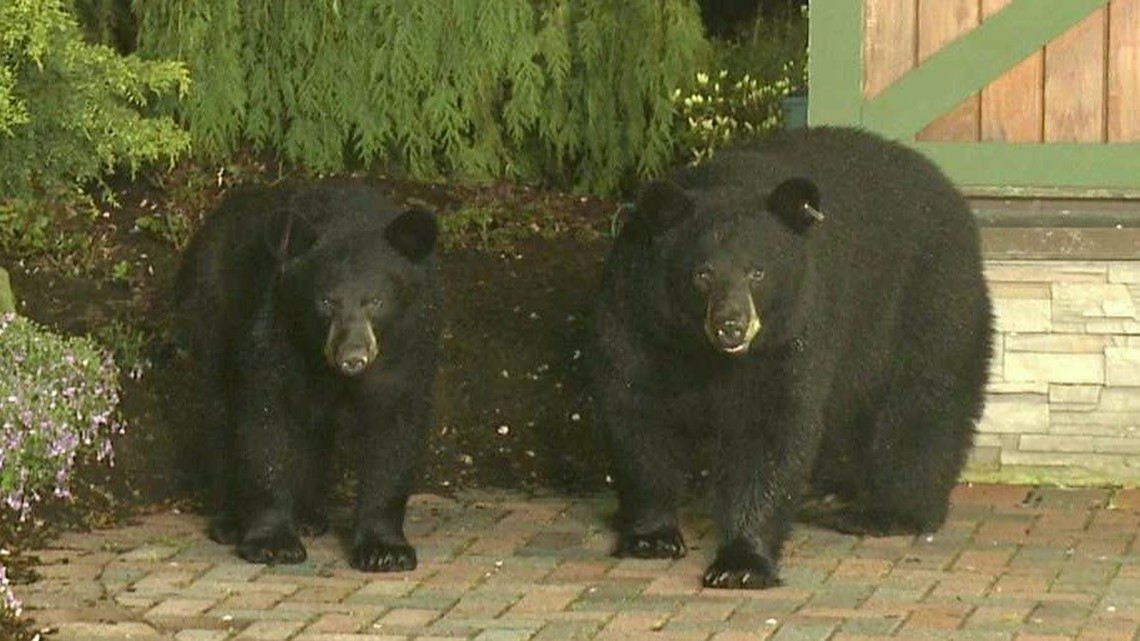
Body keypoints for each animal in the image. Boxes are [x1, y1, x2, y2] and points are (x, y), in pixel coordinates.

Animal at [174, 180, 441, 572]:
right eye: (326, 301)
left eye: (376, 301)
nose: (352, 357)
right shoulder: (274, 326)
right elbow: (266, 416)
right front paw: (273, 542)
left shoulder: (408, 342)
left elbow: (395, 426)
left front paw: (385, 549)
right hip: (211, 306)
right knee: (218, 410)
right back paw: (230, 521)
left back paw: (309, 515)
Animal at [591, 126, 992, 589]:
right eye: (701, 274)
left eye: (757, 271)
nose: (731, 325)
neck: (705, 351)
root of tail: (951, 191)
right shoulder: (638, 316)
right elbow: (637, 409)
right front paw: (651, 536)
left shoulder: (793, 328)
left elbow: (771, 427)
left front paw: (741, 563)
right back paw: (829, 489)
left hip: (924, 295)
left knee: (923, 399)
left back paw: (887, 511)